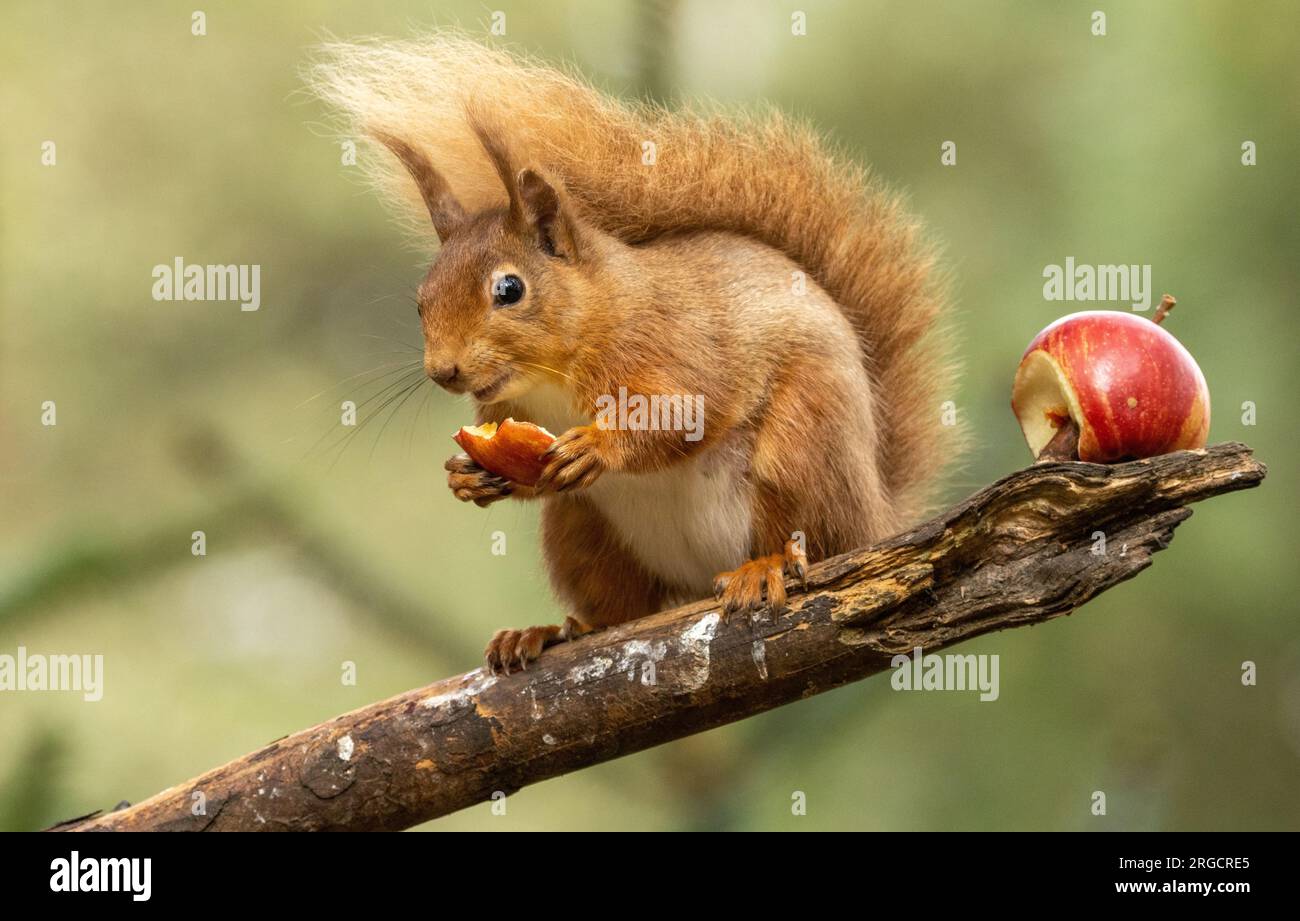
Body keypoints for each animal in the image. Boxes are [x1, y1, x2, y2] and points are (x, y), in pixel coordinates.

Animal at [311, 34, 960, 674]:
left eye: (509, 289)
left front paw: (600, 445)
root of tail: (876, 515)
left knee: (814, 540)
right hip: (580, 529)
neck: (552, 372)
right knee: (619, 609)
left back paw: (768, 566)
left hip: (803, 446)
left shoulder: (673, 344)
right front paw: (466, 477)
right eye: (420, 301)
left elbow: (687, 413)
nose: (443, 371)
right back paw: (547, 632)